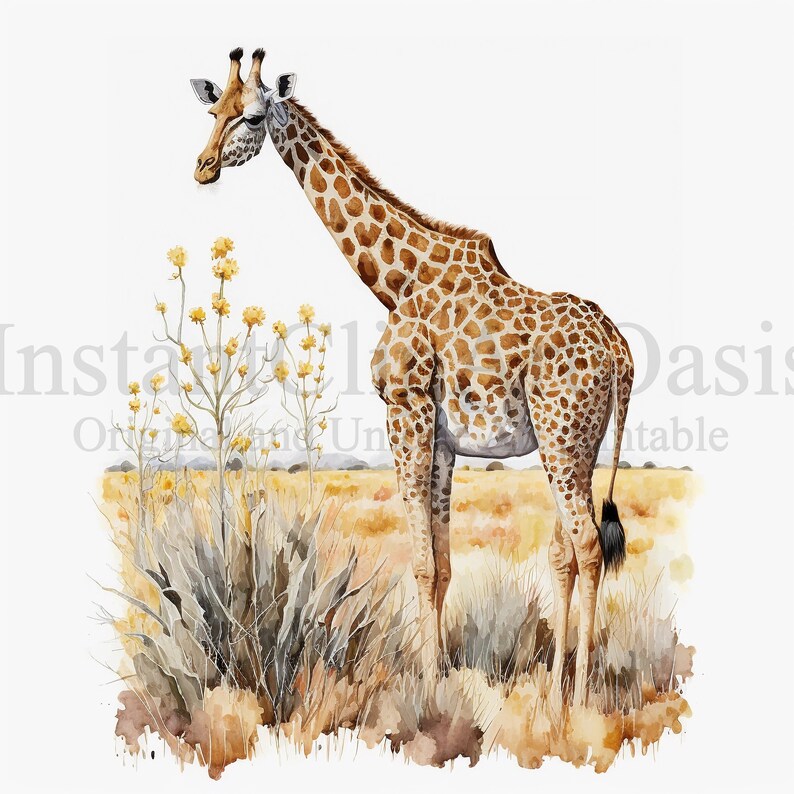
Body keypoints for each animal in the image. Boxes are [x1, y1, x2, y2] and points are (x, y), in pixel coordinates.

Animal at [191, 48, 634, 705]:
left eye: (251, 117)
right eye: (213, 109)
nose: (203, 168)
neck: (396, 283)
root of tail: (621, 350)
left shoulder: (405, 409)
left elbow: (422, 563)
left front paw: (426, 688)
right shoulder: (444, 438)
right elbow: (443, 563)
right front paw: (442, 673)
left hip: (560, 435)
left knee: (584, 542)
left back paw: (575, 699)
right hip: (582, 442)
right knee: (565, 549)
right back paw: (553, 684)